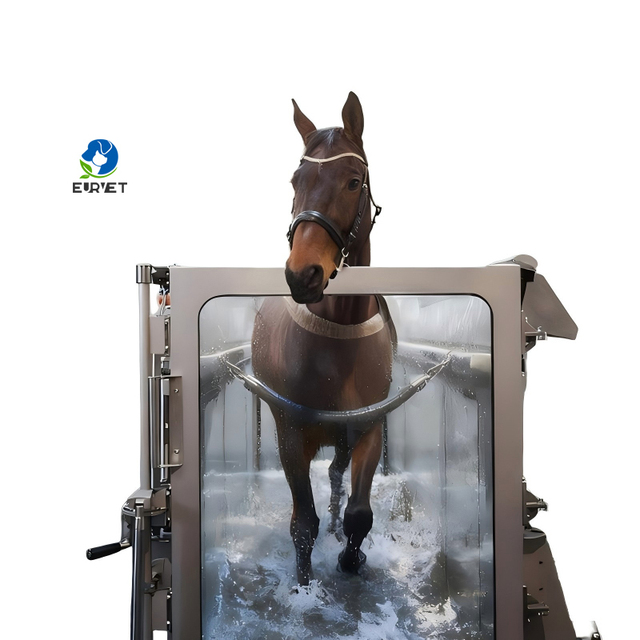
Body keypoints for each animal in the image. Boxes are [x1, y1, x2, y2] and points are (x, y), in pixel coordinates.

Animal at [251, 92, 395, 586]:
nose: (303, 273)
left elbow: (359, 513)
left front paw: (351, 558)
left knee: (335, 476)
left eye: (353, 182)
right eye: (296, 180)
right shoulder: (290, 435)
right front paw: (303, 584)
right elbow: (302, 524)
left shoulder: (368, 428)